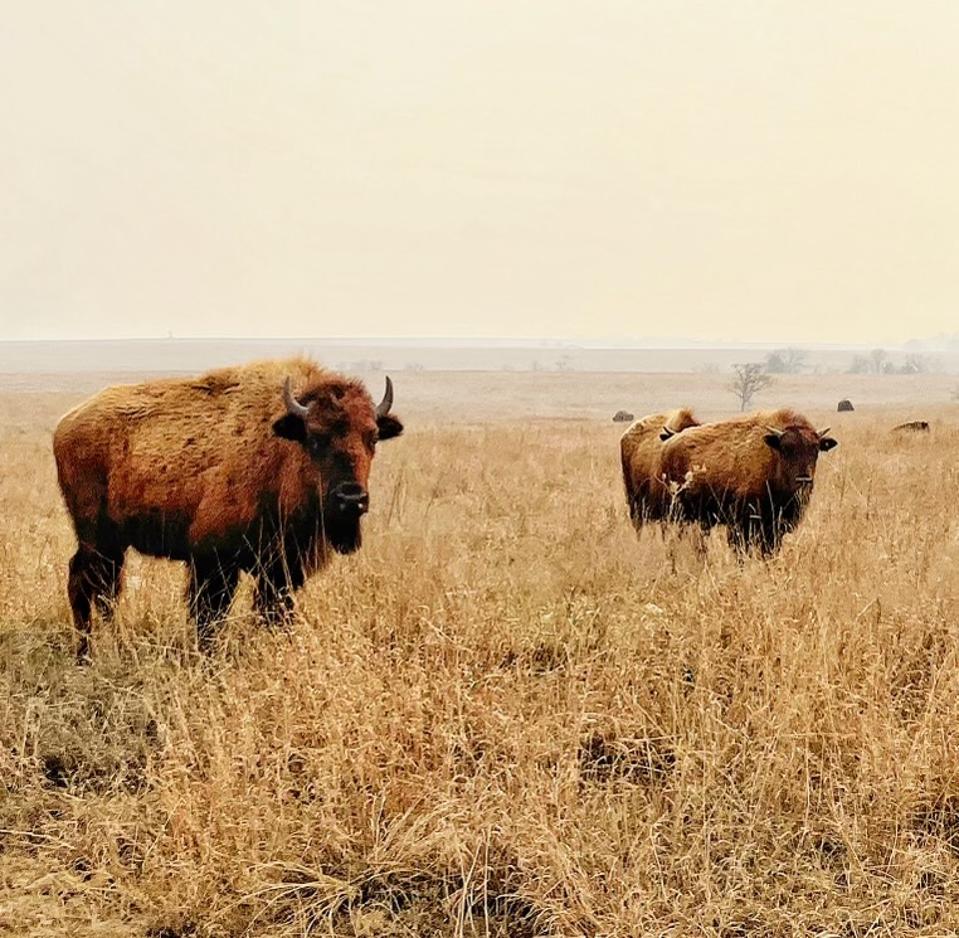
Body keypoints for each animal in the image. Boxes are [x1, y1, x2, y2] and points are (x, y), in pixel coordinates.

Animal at [53, 358, 403, 657]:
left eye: (372, 437)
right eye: (315, 437)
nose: (352, 499)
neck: (282, 448)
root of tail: (66, 423)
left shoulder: (282, 568)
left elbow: (275, 612)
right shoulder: (214, 562)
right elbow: (209, 615)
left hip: (111, 543)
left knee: (98, 586)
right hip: (97, 538)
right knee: (88, 584)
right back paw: (90, 652)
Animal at [622, 408, 837, 554]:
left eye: (815, 449)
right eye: (786, 449)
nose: (804, 479)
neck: (772, 456)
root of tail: (667, 445)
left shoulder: (773, 530)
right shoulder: (740, 525)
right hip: (654, 511)